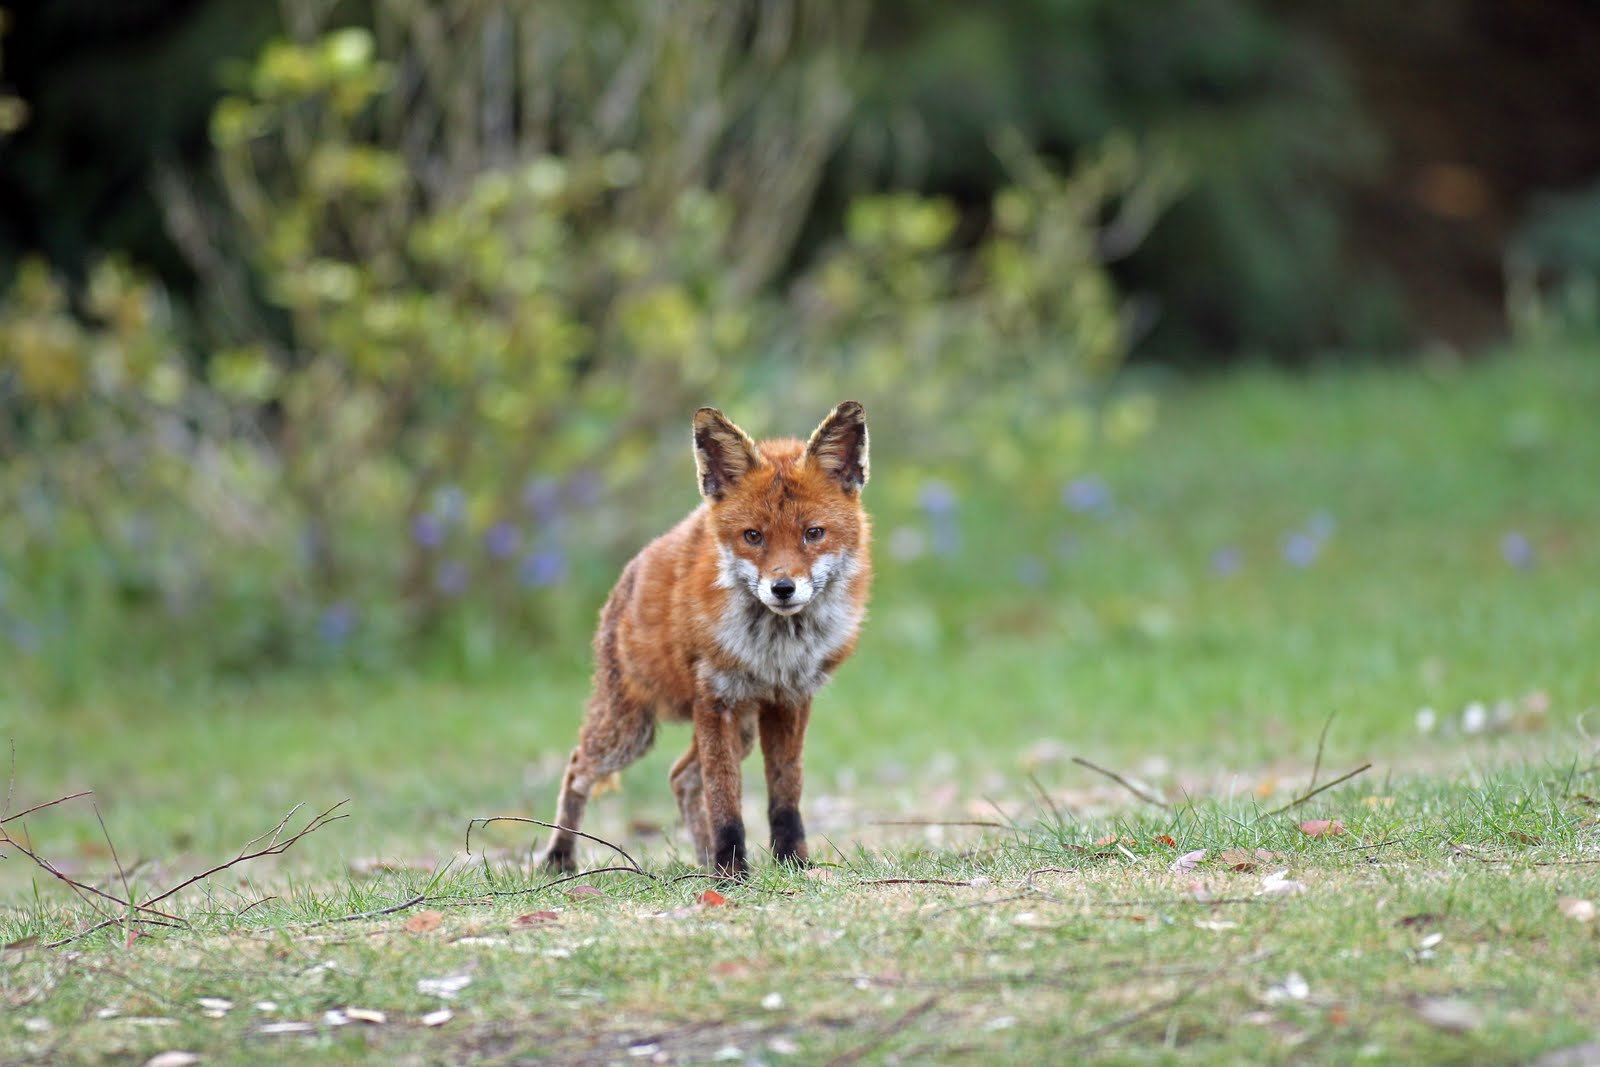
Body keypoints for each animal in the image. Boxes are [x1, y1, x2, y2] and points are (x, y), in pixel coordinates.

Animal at [539, 401, 871, 879]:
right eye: (753, 536)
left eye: (813, 533)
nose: (783, 589)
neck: (775, 650)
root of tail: (630, 572)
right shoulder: (716, 700)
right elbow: (724, 798)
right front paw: (731, 870)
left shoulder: (790, 701)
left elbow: (785, 795)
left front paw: (792, 863)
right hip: (630, 732)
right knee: (577, 769)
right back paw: (560, 856)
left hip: (741, 729)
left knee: (681, 777)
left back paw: (701, 855)